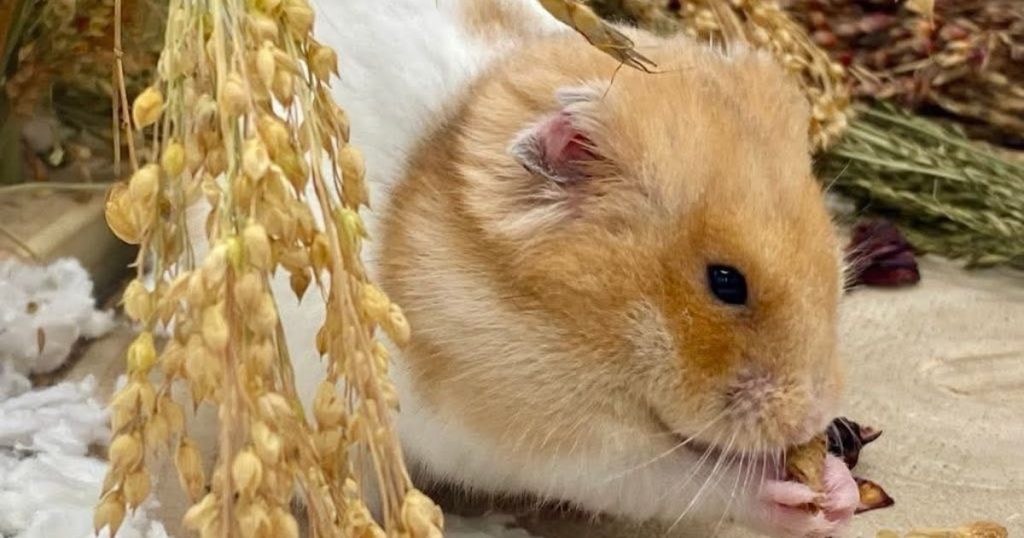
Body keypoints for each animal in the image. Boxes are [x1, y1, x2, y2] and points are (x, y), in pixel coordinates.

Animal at [189, 0, 861, 536]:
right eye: (725, 283)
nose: (814, 416)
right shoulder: (545, 439)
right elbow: (676, 478)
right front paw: (804, 498)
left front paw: (838, 490)